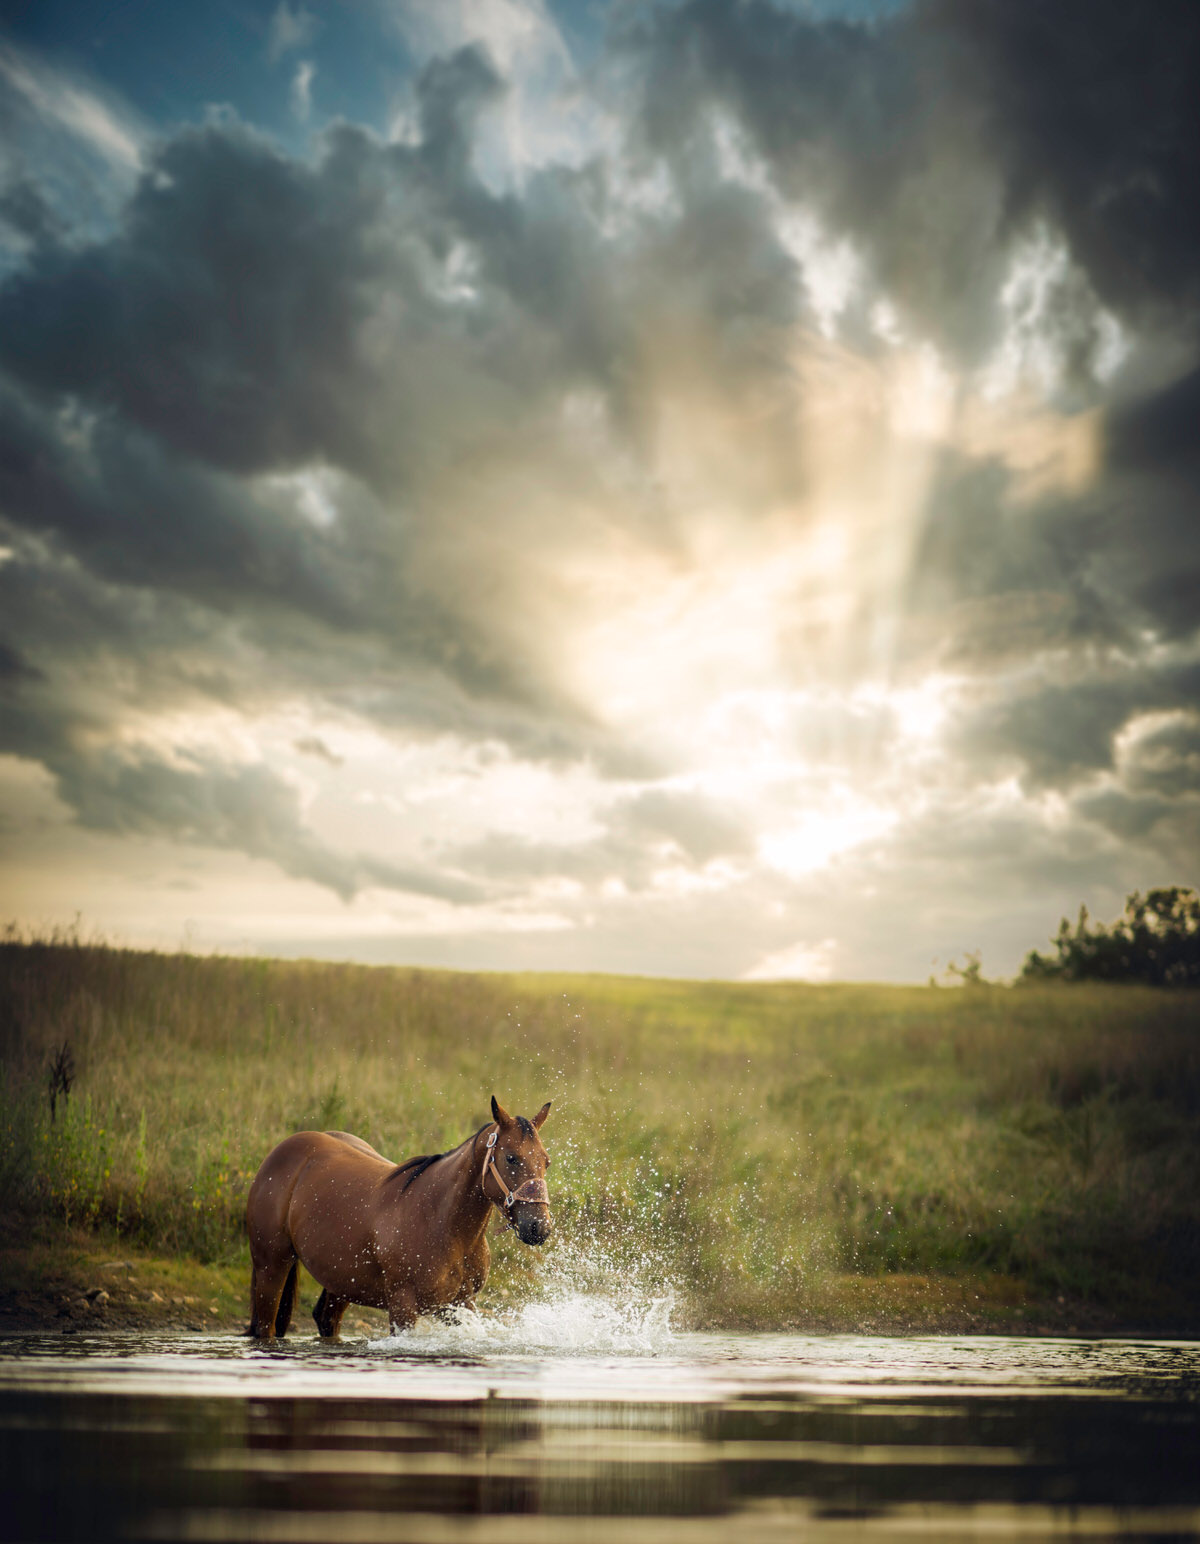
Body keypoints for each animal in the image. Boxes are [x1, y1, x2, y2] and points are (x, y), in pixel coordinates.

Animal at [245, 1095, 552, 1339]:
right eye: (511, 1158)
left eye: (546, 1161)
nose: (539, 1227)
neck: (442, 1223)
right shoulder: (403, 1307)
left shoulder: (460, 1305)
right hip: (272, 1264)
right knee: (265, 1327)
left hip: (340, 1280)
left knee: (325, 1319)